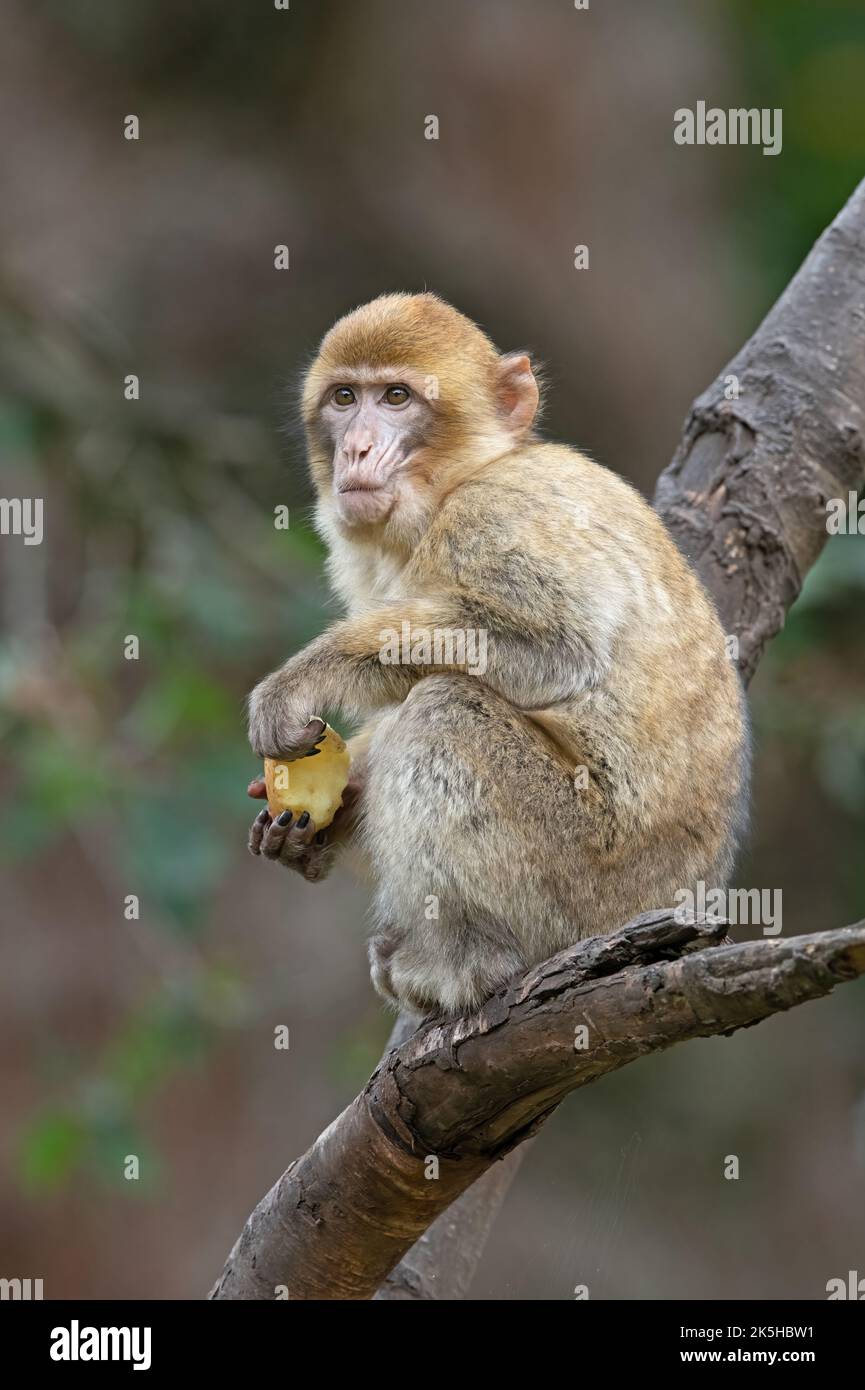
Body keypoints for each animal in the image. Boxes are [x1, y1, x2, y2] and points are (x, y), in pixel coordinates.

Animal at [246, 292, 749, 1018]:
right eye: (345, 398)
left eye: (396, 397)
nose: (356, 448)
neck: (462, 478)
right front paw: (318, 824)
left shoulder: (496, 515)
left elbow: (556, 647)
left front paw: (304, 678)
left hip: (584, 880)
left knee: (444, 708)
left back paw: (460, 965)